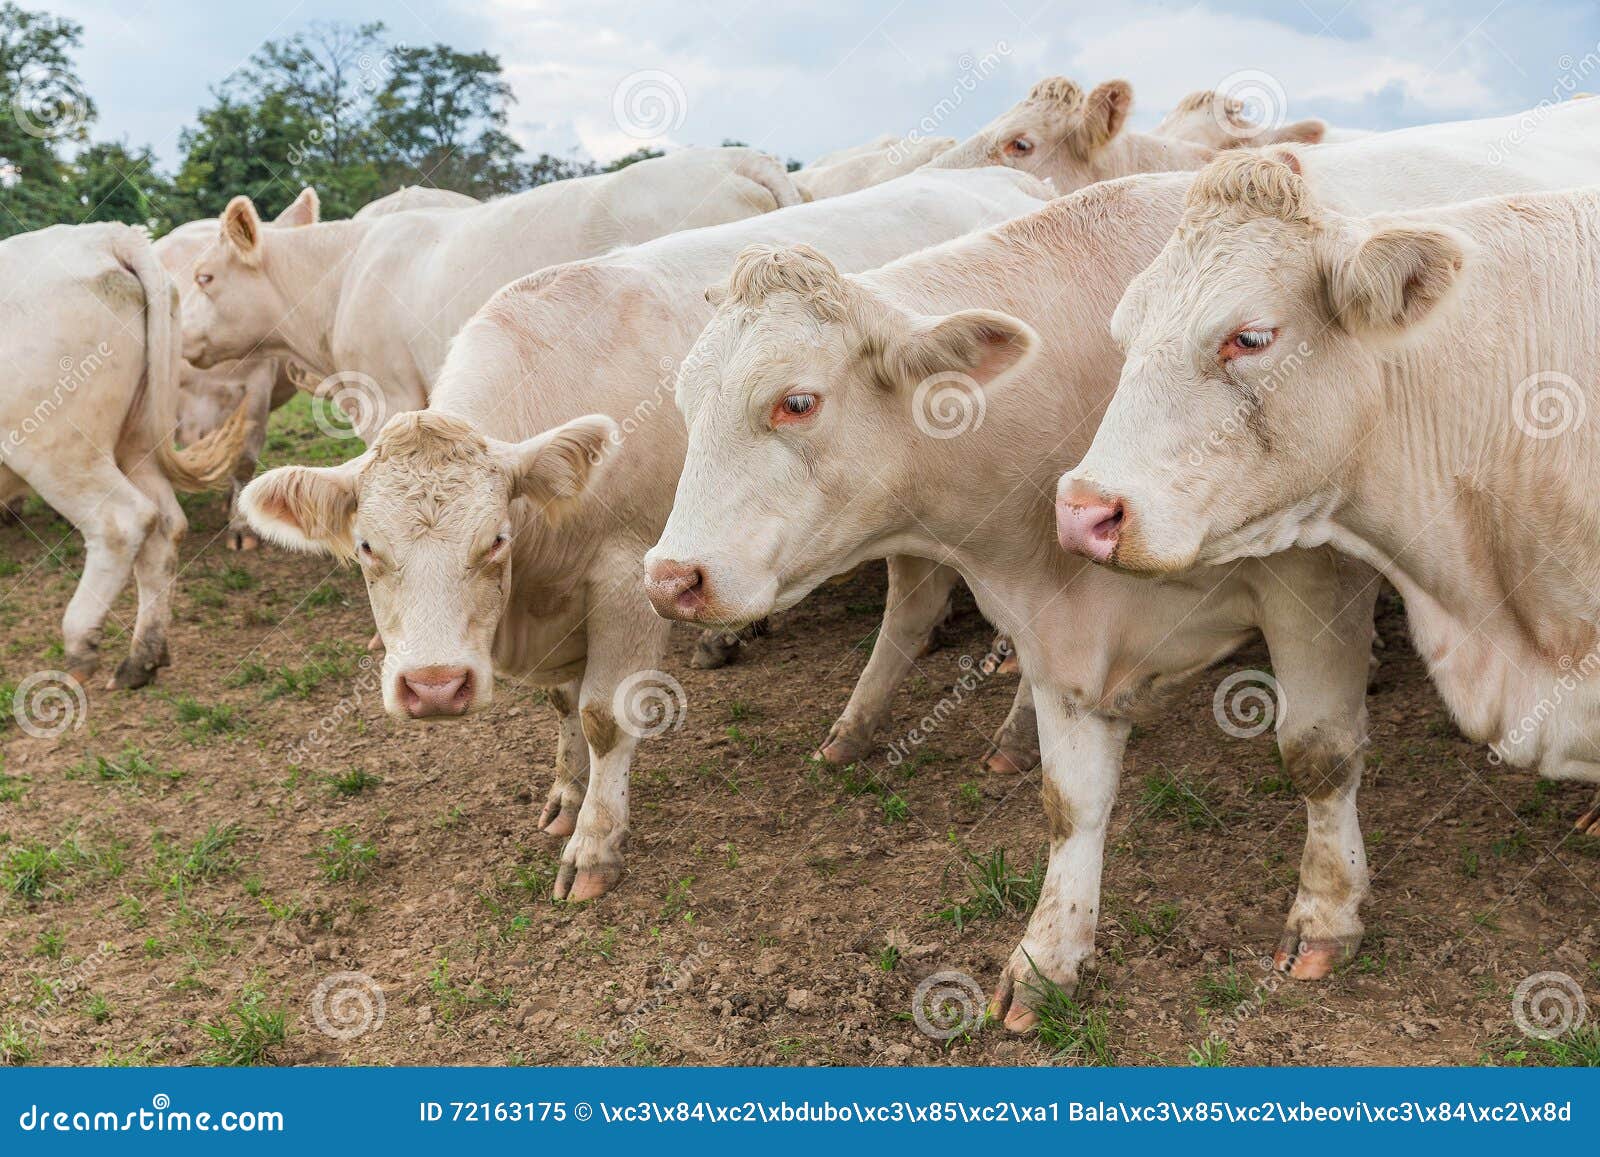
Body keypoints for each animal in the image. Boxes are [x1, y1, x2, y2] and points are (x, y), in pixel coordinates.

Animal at [0, 224, 246, 688]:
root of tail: (103, 235)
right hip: (136, 444)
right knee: (165, 527)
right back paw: (141, 659)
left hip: (55, 449)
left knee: (121, 521)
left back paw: (81, 642)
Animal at [235, 167, 1055, 905]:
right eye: (367, 550)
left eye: (494, 538)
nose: (434, 686)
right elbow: (562, 706)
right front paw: (565, 793)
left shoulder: (628, 577)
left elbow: (604, 716)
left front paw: (595, 841)